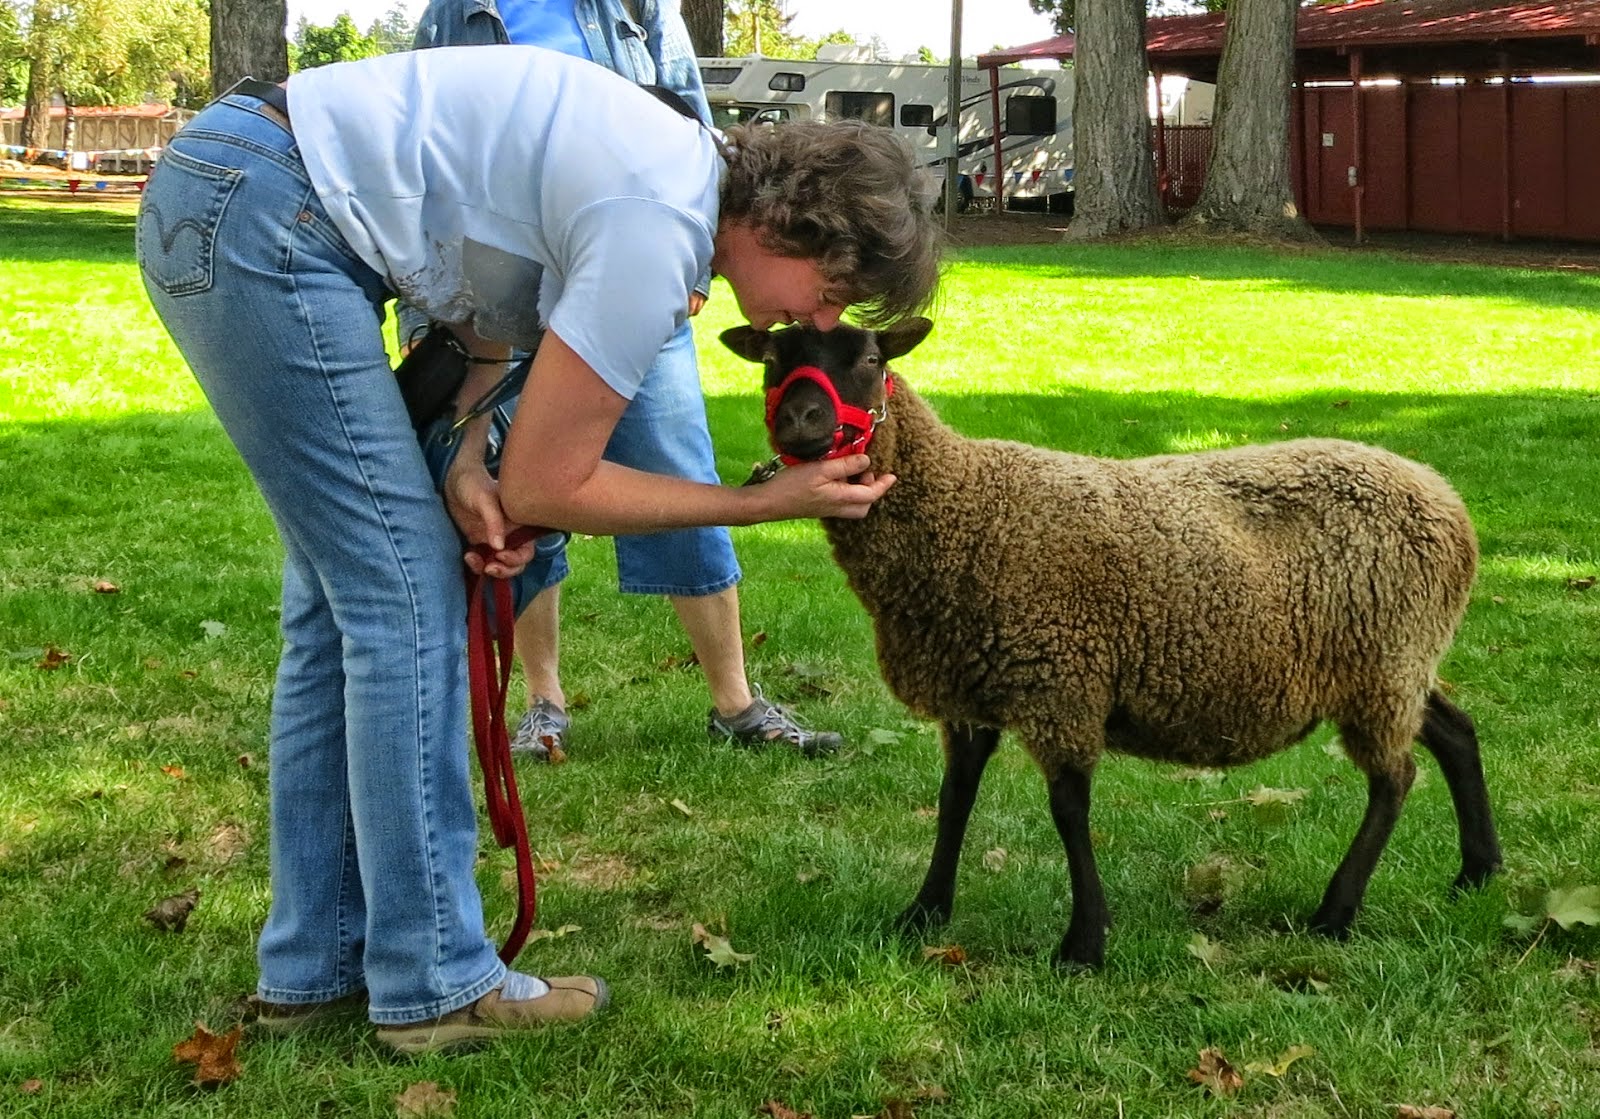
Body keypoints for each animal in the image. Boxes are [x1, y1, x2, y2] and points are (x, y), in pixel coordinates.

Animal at [720, 317, 1503, 970]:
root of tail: (1445, 501)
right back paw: (1478, 871)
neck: (965, 505)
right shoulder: (971, 690)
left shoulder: (1062, 680)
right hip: (1394, 663)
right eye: (773, 362)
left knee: (1395, 777)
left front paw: (1083, 943)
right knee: (1455, 733)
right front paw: (925, 911)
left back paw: (1337, 911)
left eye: (871, 360)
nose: (800, 419)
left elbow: (1068, 811)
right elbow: (954, 798)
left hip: (1380, 660)